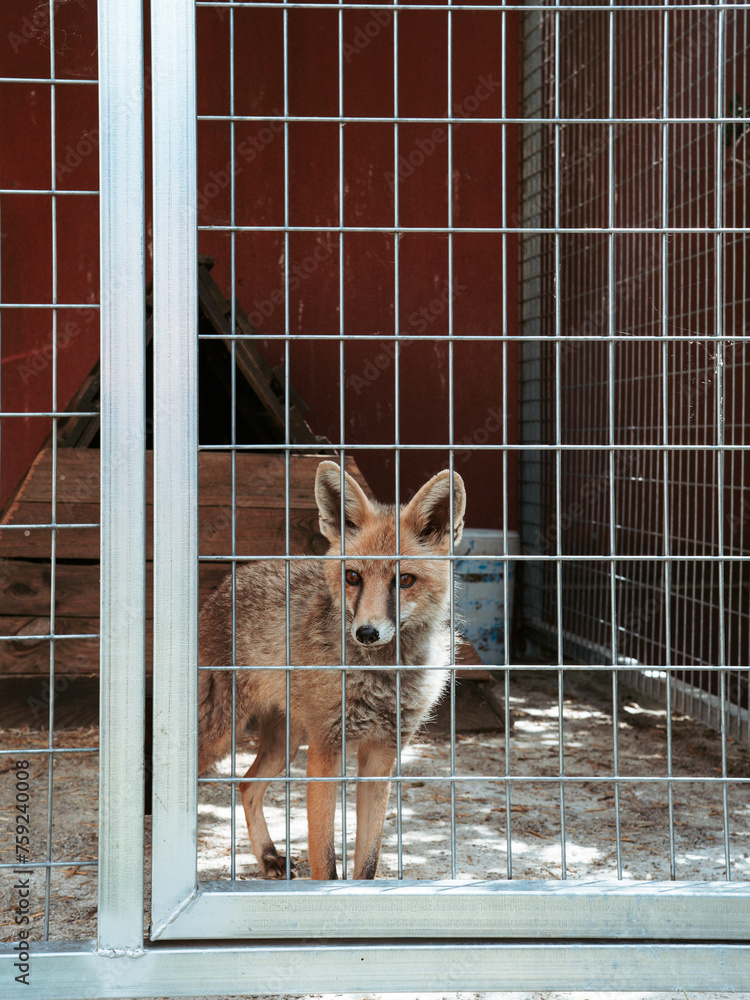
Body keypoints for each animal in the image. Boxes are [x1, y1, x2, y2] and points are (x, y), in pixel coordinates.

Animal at [197, 460, 466, 880]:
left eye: (405, 580)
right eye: (352, 576)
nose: (367, 633)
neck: (380, 680)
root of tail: (229, 581)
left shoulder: (382, 754)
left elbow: (367, 863)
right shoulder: (326, 748)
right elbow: (325, 861)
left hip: (285, 743)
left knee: (247, 784)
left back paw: (268, 856)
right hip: (222, 733)